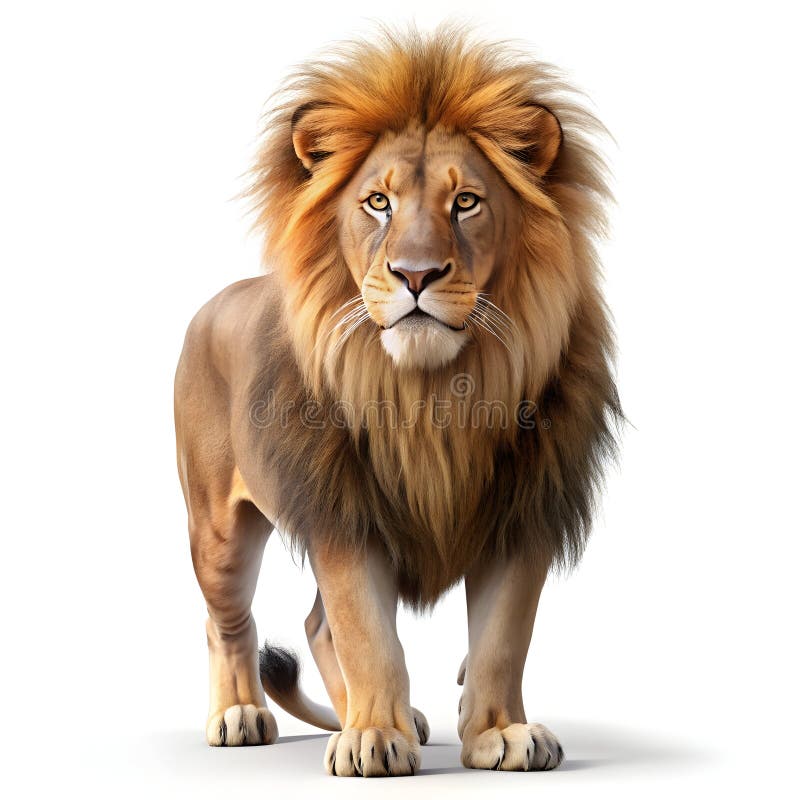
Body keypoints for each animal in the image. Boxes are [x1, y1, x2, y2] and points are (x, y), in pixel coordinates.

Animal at [174, 23, 620, 776]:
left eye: (465, 202)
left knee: (312, 624)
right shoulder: (343, 513)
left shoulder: (521, 509)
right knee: (227, 621)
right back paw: (241, 714)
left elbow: (502, 638)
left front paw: (498, 731)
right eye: (377, 203)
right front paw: (373, 737)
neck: (432, 395)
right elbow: (366, 634)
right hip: (219, 530)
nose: (416, 274)